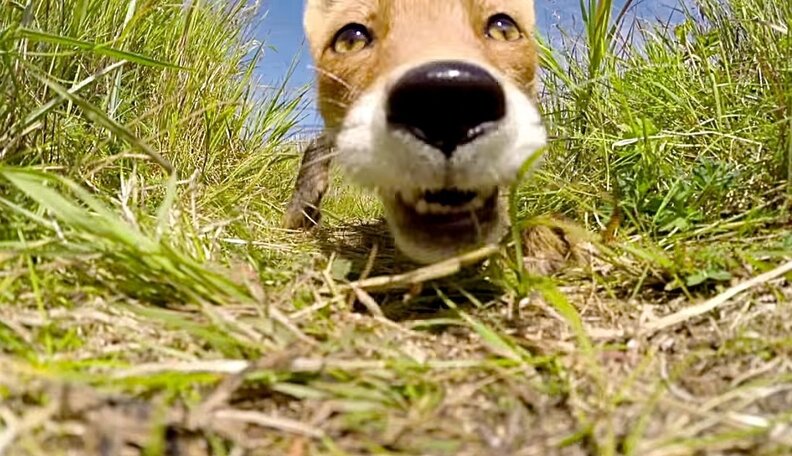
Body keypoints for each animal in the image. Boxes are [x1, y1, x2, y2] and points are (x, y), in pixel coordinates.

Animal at [285, 0, 578, 268]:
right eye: (350, 39)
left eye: (504, 28)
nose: (446, 100)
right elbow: (319, 143)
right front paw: (301, 206)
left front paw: (542, 237)